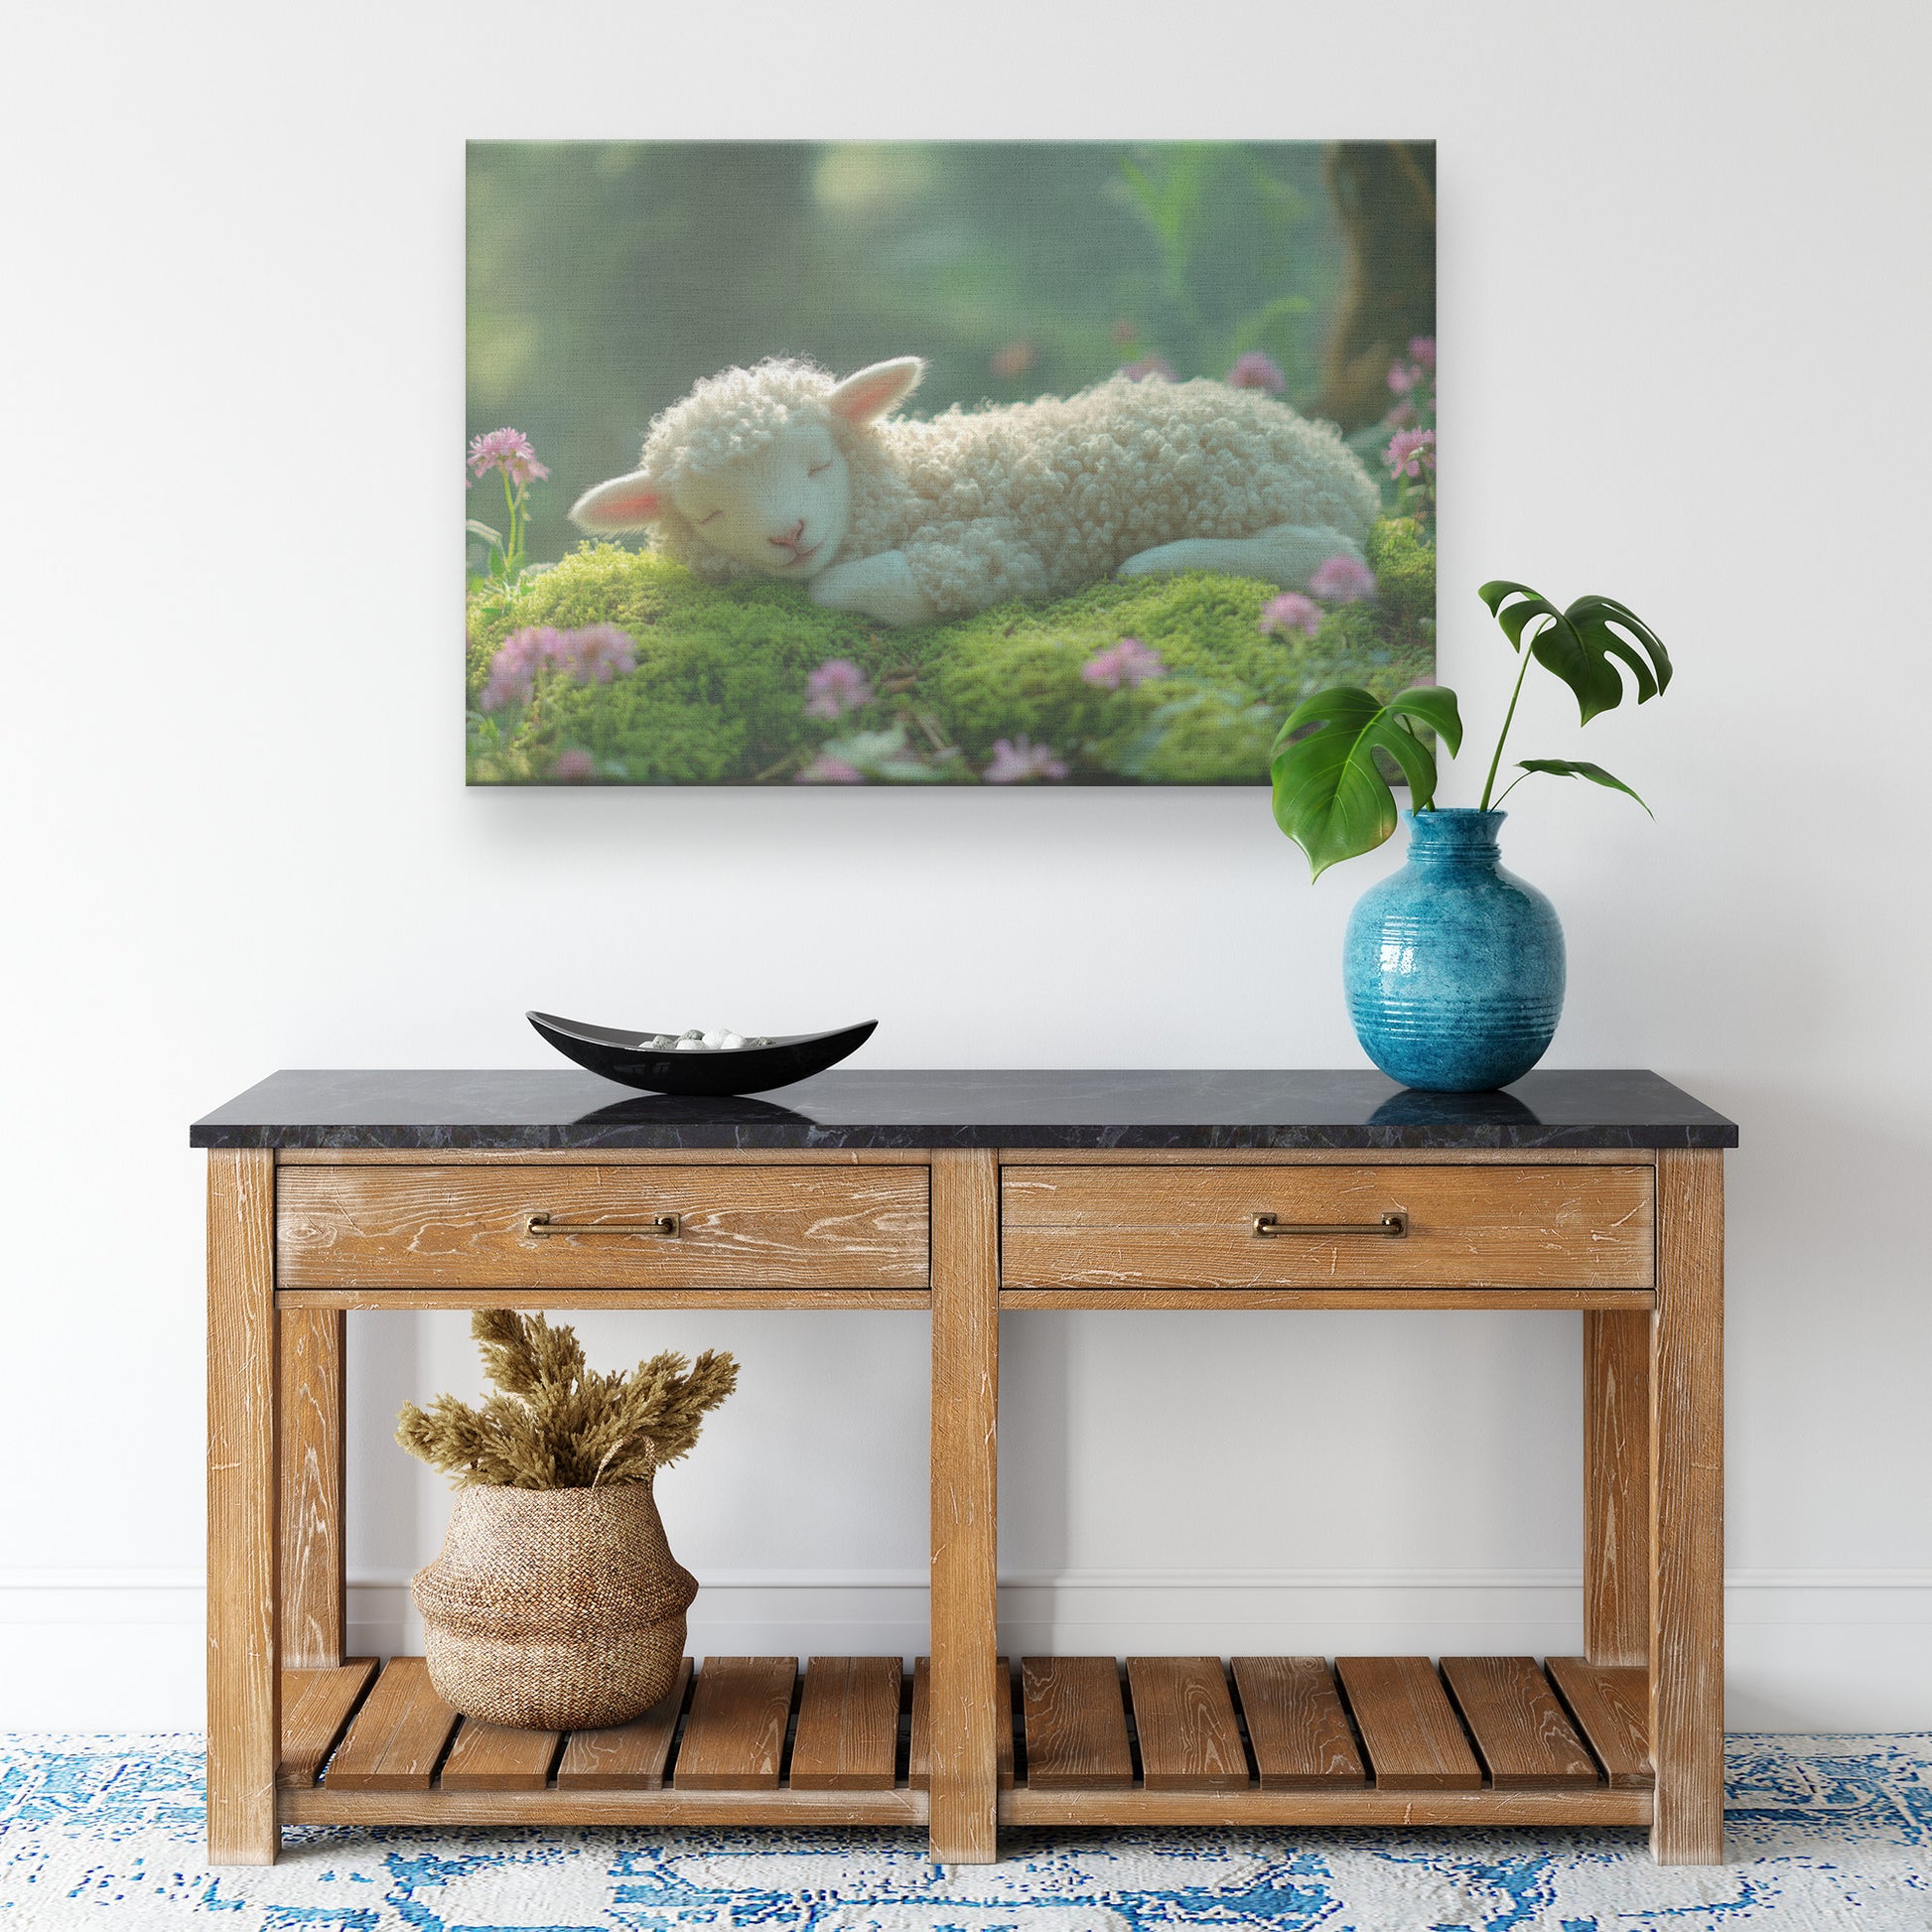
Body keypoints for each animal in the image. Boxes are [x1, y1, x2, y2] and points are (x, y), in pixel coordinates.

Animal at [569, 356, 1381, 629]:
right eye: (708, 512)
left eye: (819, 465)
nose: (789, 534)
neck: (914, 478)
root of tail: (1346, 466)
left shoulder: (987, 551)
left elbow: (839, 588)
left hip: (1263, 493)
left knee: (1323, 558)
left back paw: (1153, 562)